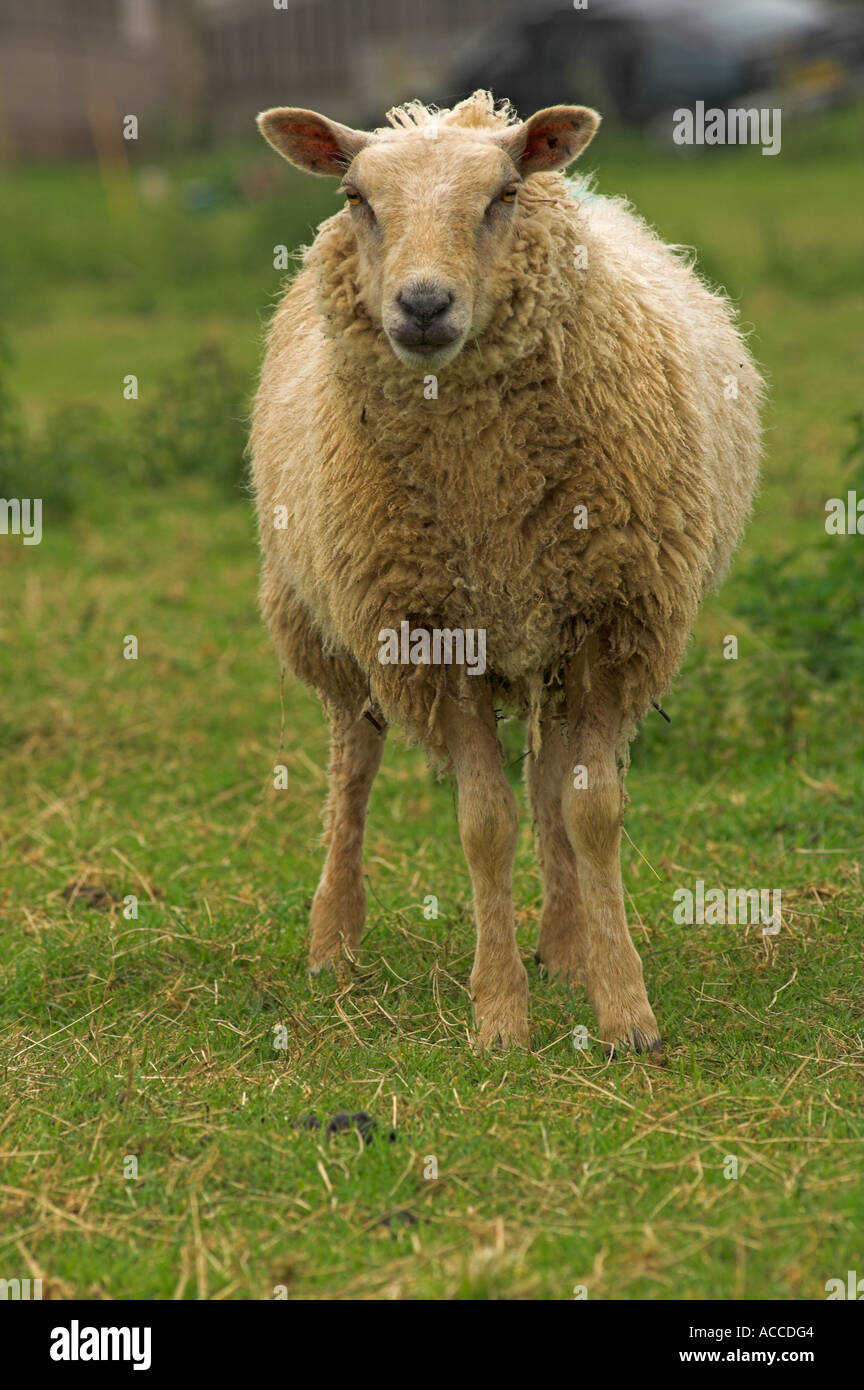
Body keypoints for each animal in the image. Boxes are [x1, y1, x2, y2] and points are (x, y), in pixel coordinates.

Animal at [250, 90, 763, 1054]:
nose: (422, 305)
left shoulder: (609, 626)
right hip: (323, 621)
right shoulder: (432, 637)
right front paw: (498, 1018)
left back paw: (566, 945)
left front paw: (624, 1008)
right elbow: (484, 824)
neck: (485, 494)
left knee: (550, 779)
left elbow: (591, 811)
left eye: (503, 195)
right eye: (355, 198)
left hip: (545, 632)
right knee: (352, 765)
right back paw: (333, 943)